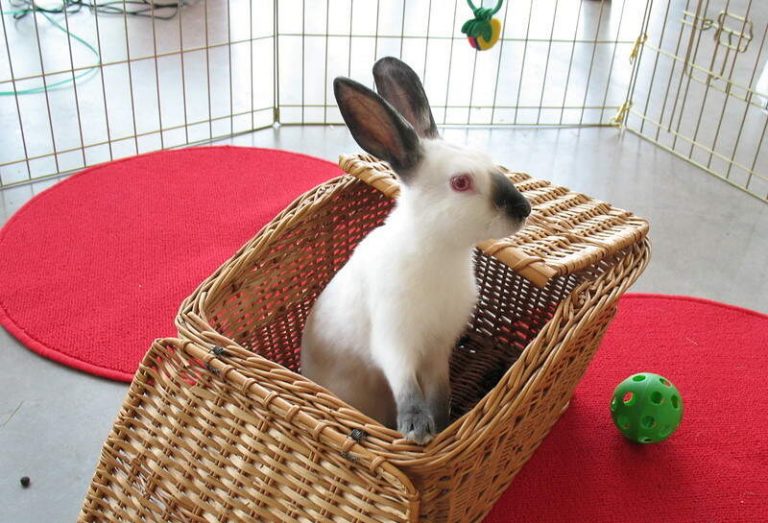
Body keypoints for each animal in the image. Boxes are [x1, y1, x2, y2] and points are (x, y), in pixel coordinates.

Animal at [300, 57, 531, 444]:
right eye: (460, 183)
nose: (524, 209)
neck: (440, 250)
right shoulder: (395, 341)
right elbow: (406, 385)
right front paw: (417, 429)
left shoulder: (439, 350)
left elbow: (440, 390)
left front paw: (442, 420)